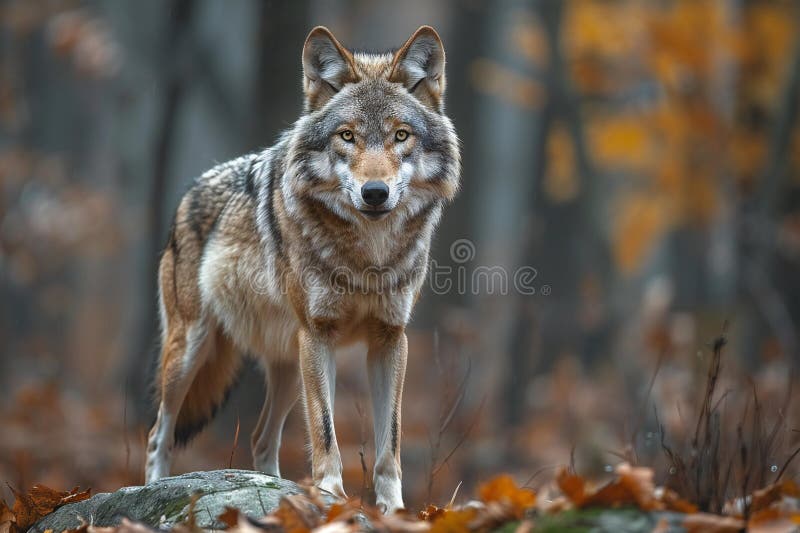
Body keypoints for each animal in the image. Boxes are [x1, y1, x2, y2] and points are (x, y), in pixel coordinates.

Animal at [144, 25, 460, 513]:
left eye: (401, 135)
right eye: (347, 136)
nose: (374, 192)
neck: (368, 257)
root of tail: (190, 191)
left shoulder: (390, 339)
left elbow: (390, 439)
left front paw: (394, 511)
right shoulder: (319, 333)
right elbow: (325, 429)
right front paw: (331, 494)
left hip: (290, 365)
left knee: (260, 439)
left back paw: (272, 490)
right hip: (193, 352)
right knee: (158, 433)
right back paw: (152, 493)